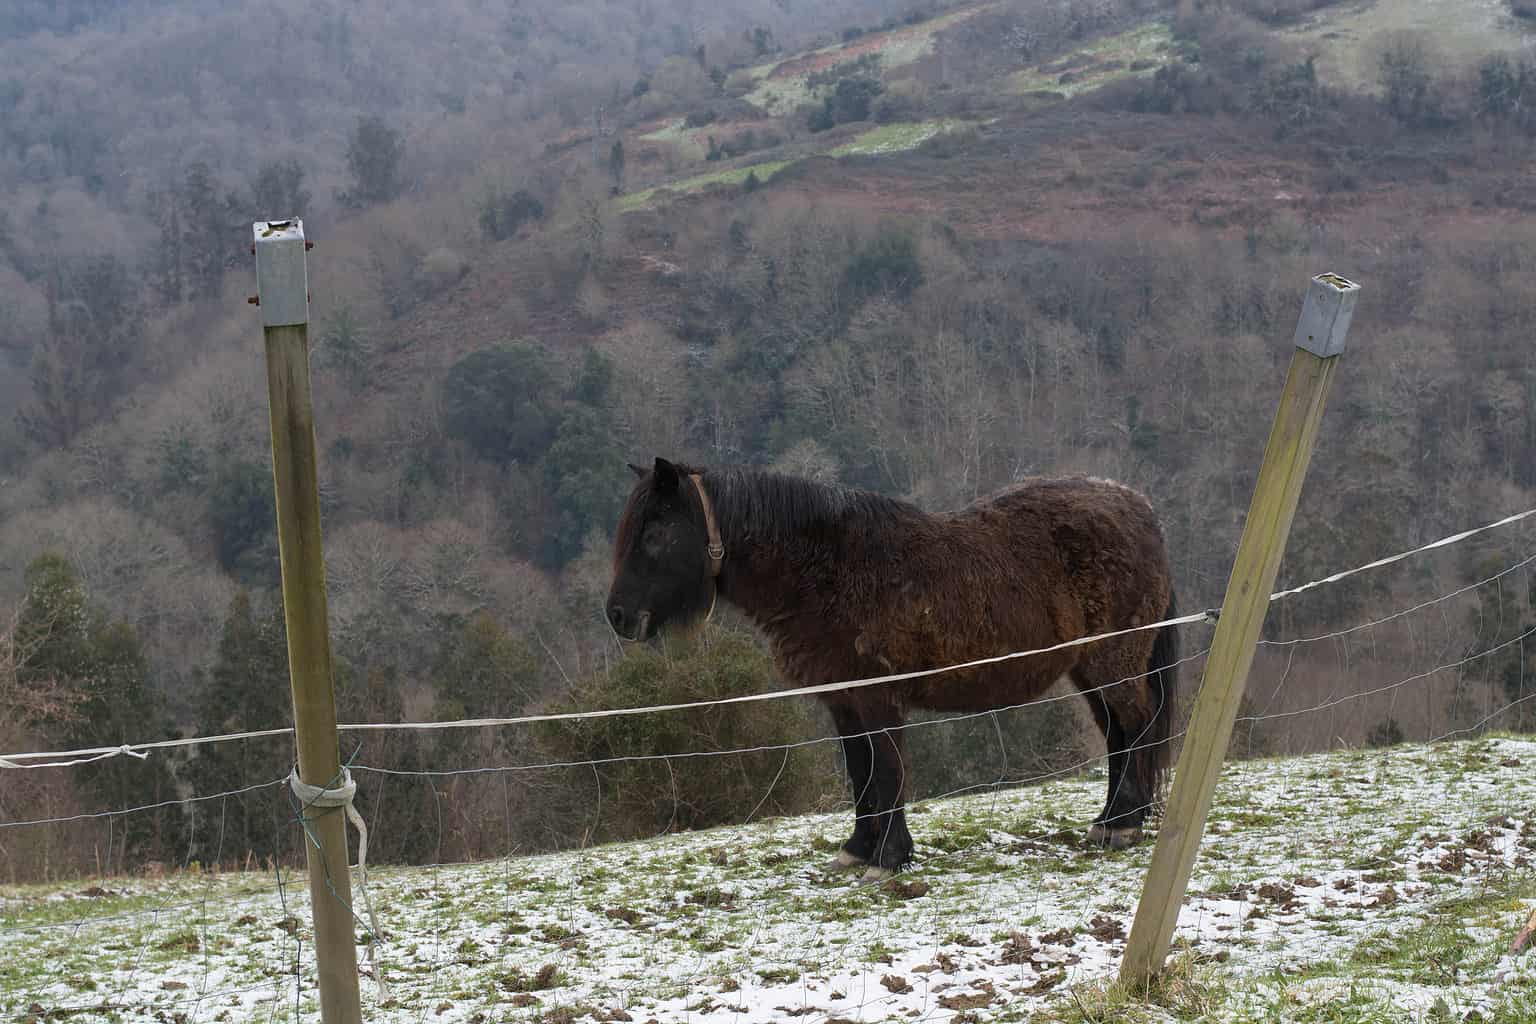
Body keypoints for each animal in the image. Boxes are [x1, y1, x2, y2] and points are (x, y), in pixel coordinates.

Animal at [605, 457, 1181, 882]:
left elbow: (886, 768)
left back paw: (1125, 824)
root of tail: (1140, 507)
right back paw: (1111, 820)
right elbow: (860, 770)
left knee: (1137, 725)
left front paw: (888, 857)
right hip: (1090, 670)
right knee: (1117, 735)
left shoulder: (877, 696)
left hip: (1113, 660)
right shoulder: (843, 700)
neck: (826, 570)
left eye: (654, 534)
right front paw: (860, 847)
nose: (618, 616)